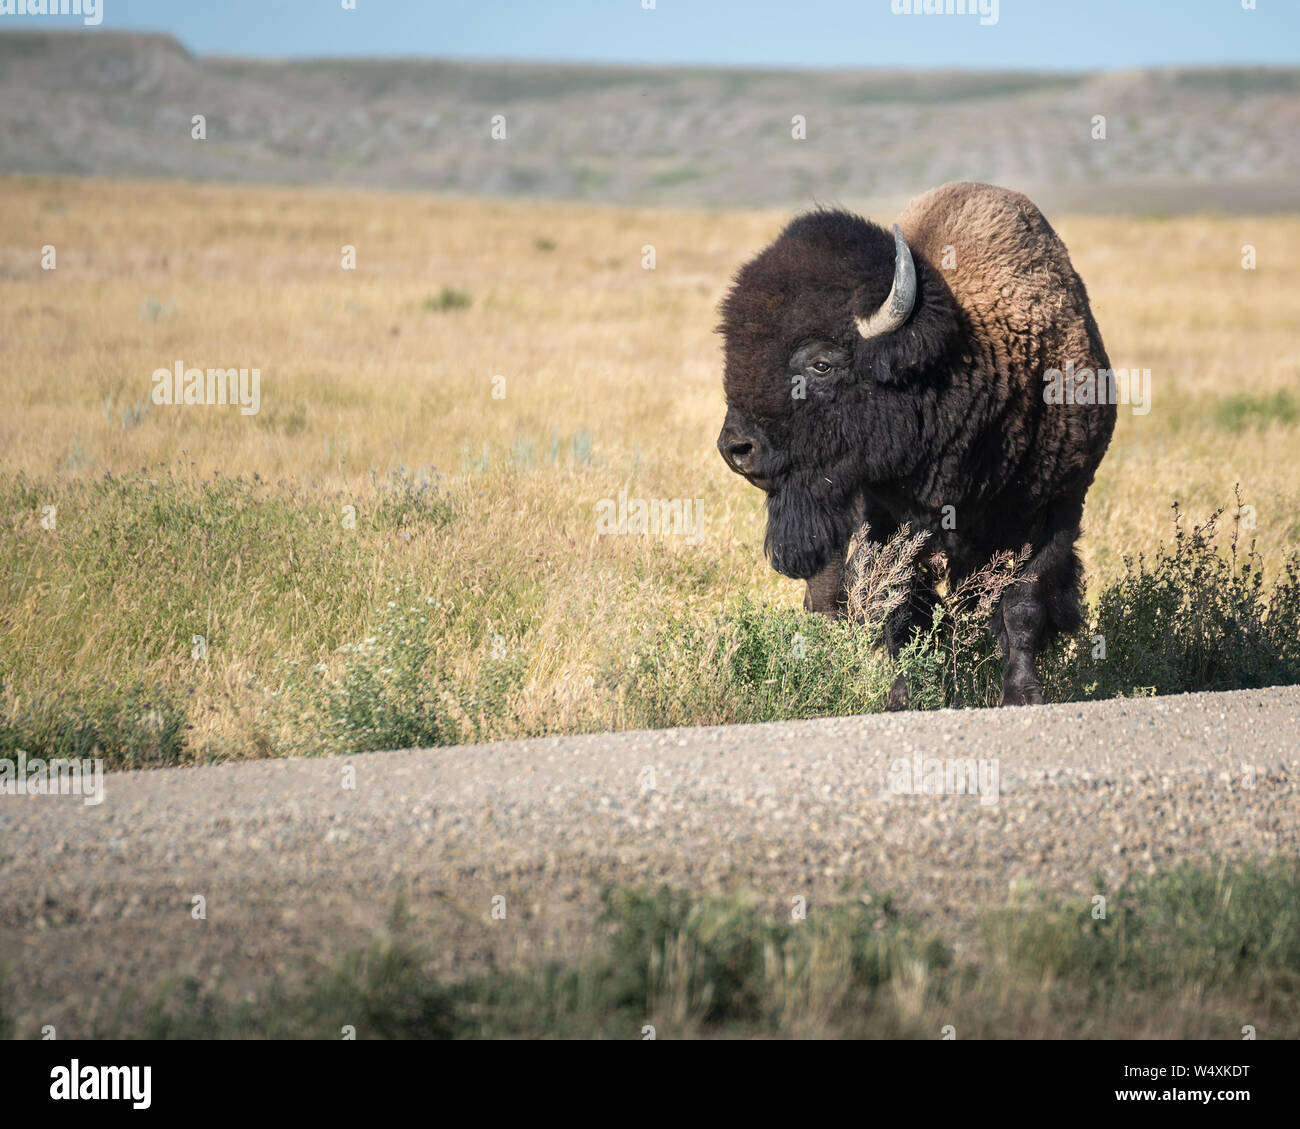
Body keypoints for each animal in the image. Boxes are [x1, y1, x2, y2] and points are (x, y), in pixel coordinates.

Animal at [716, 181, 1115, 707]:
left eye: (821, 363)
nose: (736, 448)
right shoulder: (887, 522)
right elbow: (900, 609)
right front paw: (901, 697)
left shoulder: (1055, 508)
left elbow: (1022, 605)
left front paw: (1022, 694)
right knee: (830, 595)